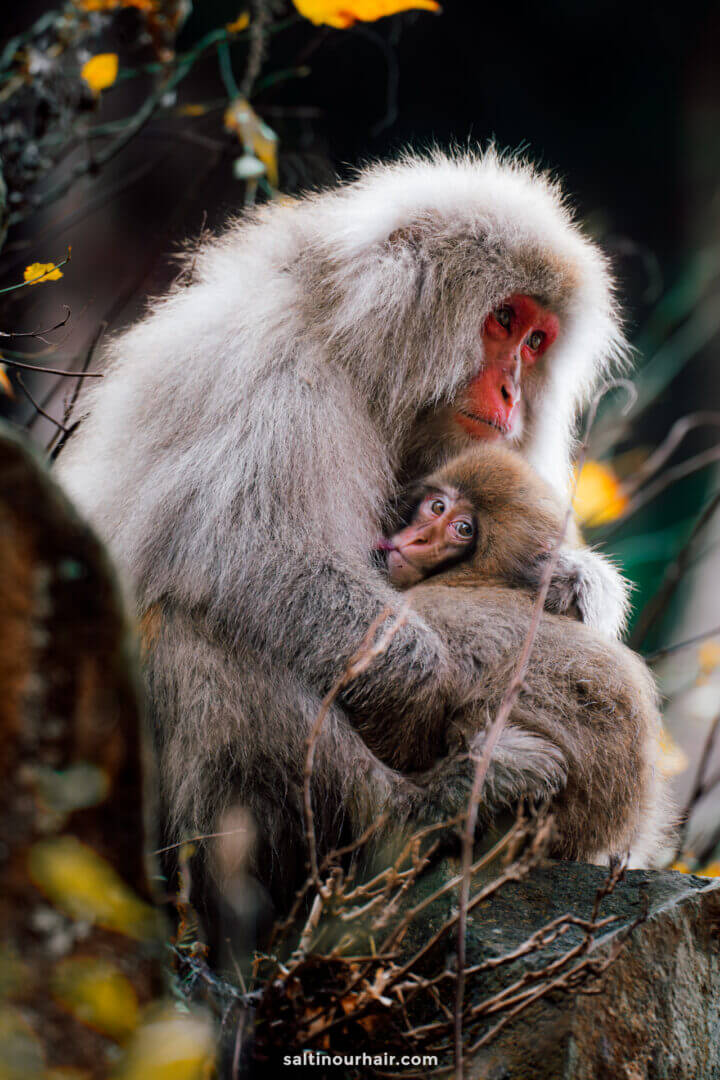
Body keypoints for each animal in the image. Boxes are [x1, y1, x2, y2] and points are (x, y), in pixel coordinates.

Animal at [56, 148, 636, 926]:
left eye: (537, 340)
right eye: (505, 318)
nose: (513, 391)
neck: (354, 349)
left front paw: (574, 583)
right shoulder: (277, 374)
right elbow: (252, 549)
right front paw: (425, 688)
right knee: (193, 628)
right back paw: (418, 816)